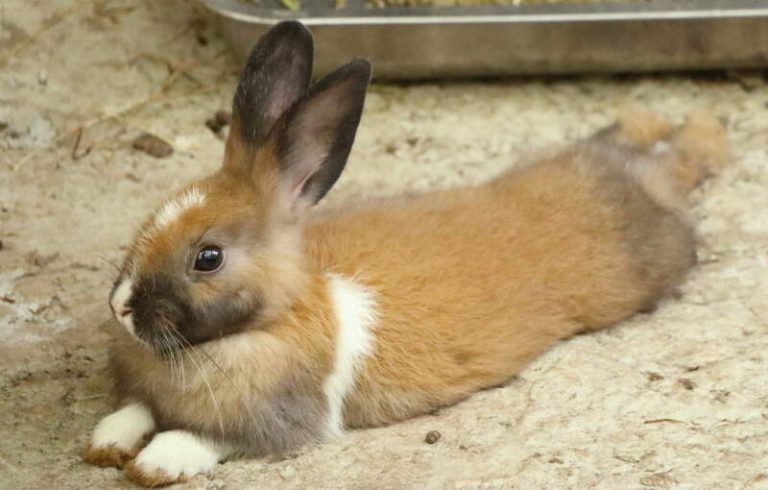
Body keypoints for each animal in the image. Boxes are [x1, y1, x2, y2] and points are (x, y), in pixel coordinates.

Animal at [83, 20, 729, 487]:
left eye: (208, 258)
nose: (120, 307)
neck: (264, 322)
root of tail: (652, 179)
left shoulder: (283, 420)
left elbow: (206, 436)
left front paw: (156, 461)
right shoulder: (154, 392)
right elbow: (137, 409)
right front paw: (106, 442)